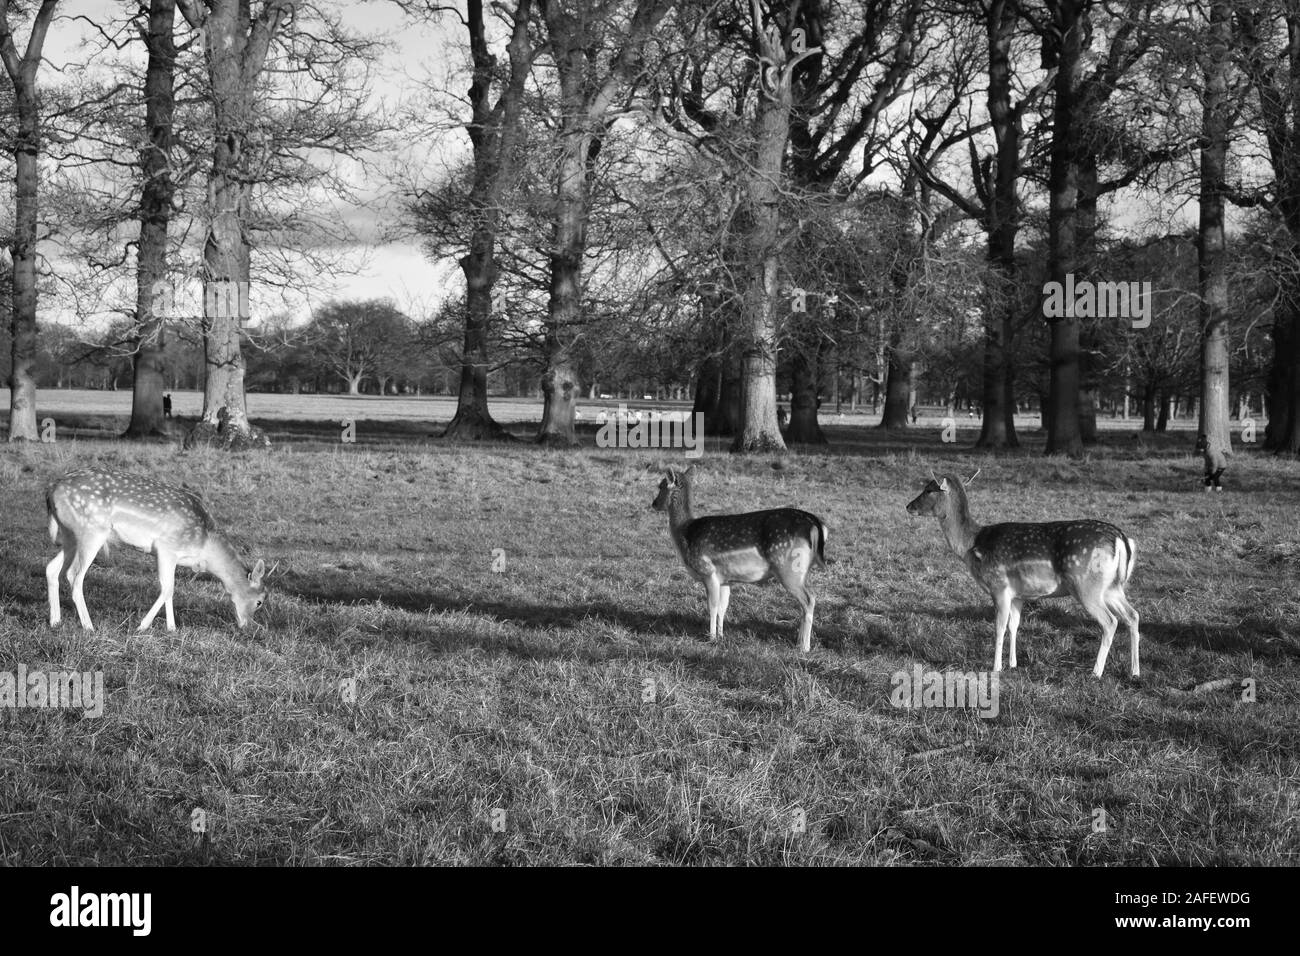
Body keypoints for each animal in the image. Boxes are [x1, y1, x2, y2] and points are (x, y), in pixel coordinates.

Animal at [46, 468, 268, 632]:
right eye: (260, 601)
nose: (248, 626)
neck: (204, 546)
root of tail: (51, 491)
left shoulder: (169, 556)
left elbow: (170, 589)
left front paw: (171, 628)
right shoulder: (167, 547)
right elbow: (167, 588)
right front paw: (142, 626)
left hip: (70, 534)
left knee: (52, 568)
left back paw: (55, 621)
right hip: (93, 530)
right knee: (74, 575)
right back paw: (89, 627)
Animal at [651, 465, 829, 652]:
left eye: (661, 485)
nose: (654, 503)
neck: (685, 533)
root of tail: (817, 525)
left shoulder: (707, 571)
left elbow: (712, 606)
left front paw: (711, 638)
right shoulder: (725, 580)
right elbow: (723, 607)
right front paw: (721, 636)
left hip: (789, 568)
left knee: (809, 599)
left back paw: (804, 647)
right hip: (801, 571)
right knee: (806, 601)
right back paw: (799, 642)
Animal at [906, 471, 1140, 678]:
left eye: (928, 489)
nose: (908, 506)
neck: (971, 545)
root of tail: (1121, 539)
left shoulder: (999, 586)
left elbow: (999, 627)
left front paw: (996, 667)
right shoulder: (1018, 594)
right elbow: (1014, 625)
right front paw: (1013, 664)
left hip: (1086, 585)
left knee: (1110, 621)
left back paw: (1096, 672)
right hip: (1112, 587)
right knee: (1133, 615)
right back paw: (1134, 671)